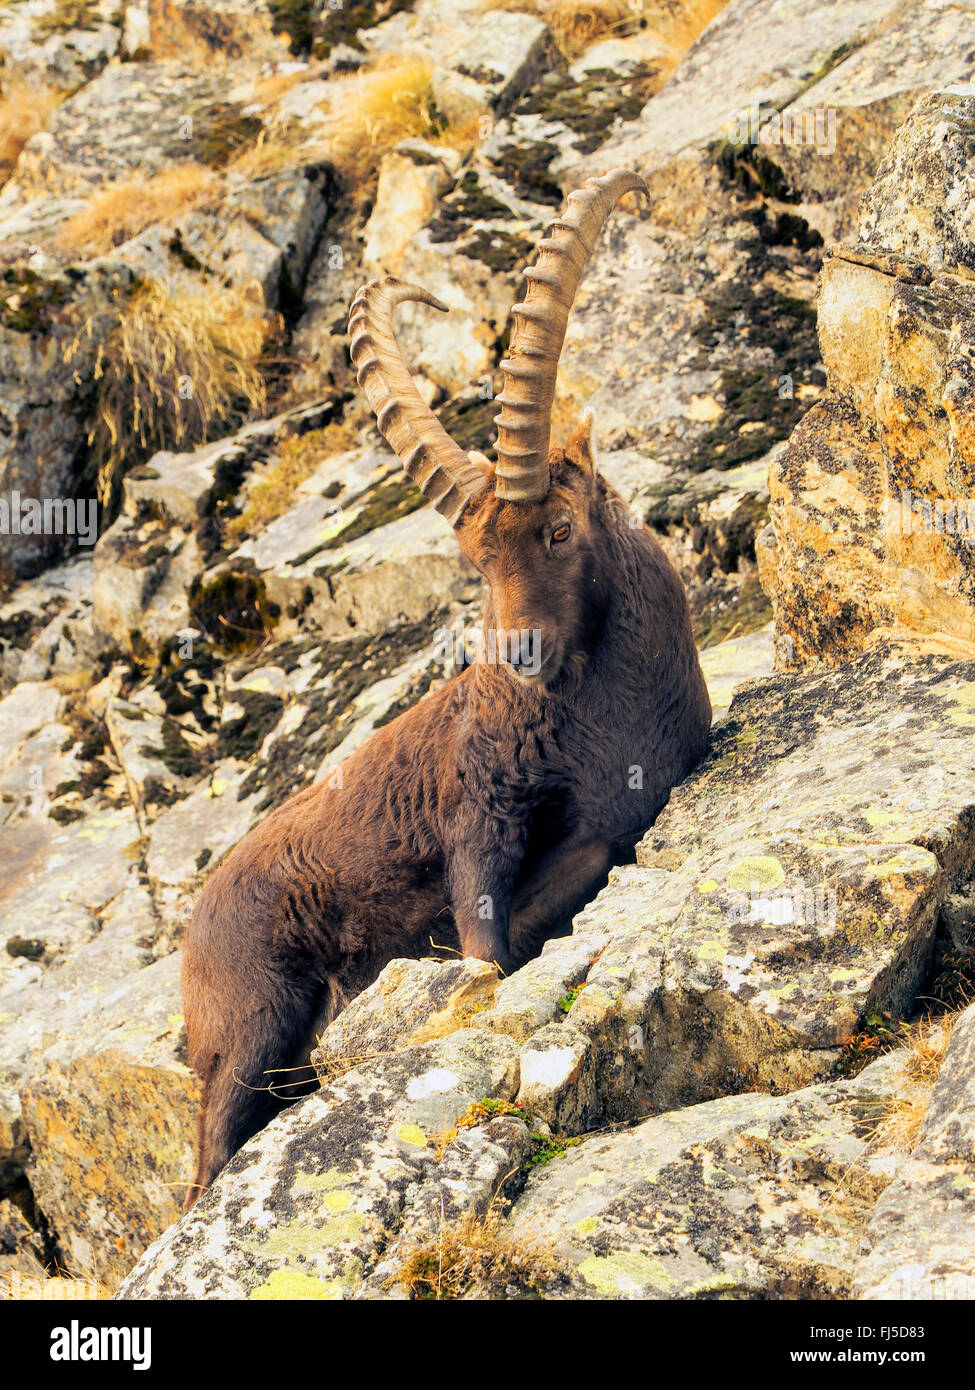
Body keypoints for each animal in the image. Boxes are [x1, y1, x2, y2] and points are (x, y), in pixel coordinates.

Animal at [181, 169, 712, 1207]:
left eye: (556, 529)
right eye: (473, 558)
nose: (514, 655)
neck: (603, 719)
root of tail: (190, 937)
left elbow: (576, 867)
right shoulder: (479, 810)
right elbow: (482, 933)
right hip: (252, 1025)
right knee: (206, 1168)